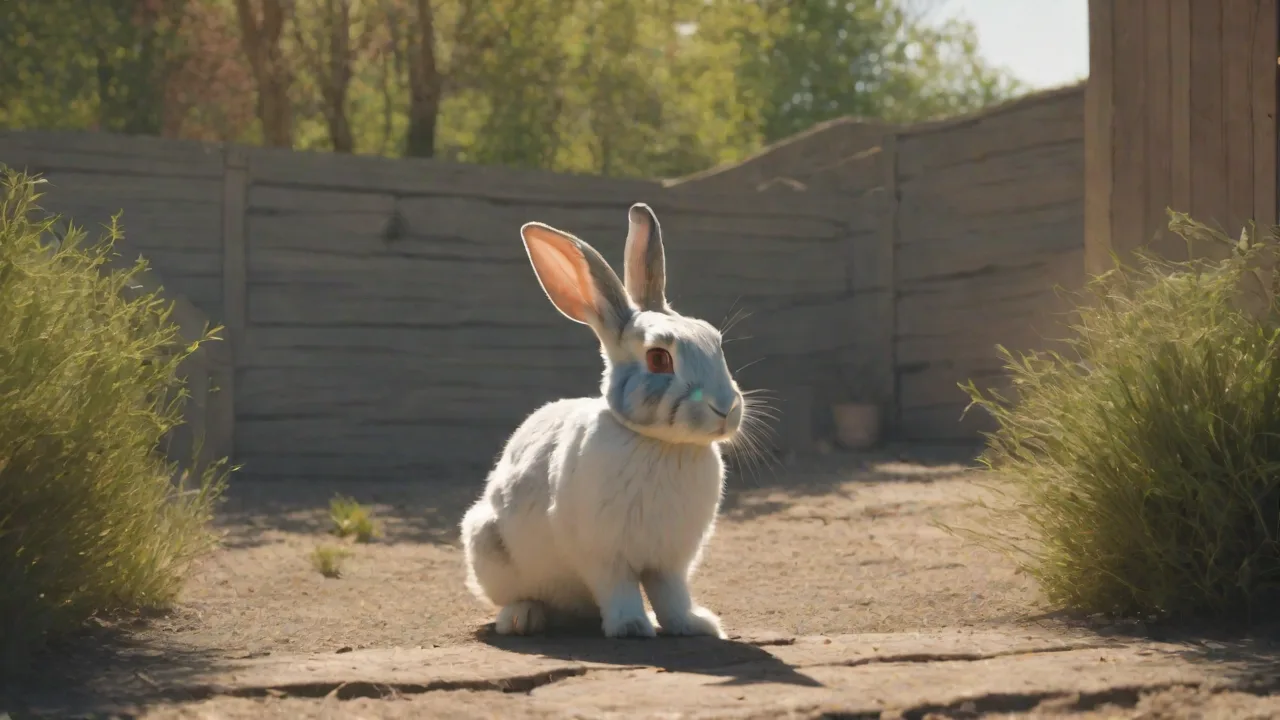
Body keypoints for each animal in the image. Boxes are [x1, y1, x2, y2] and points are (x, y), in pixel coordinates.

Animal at [459, 202, 745, 639]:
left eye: (715, 339)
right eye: (658, 358)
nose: (726, 409)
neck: (661, 444)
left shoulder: (669, 563)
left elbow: (671, 595)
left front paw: (695, 625)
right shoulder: (604, 556)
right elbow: (620, 588)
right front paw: (630, 626)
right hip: (487, 544)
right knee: (518, 596)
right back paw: (522, 618)